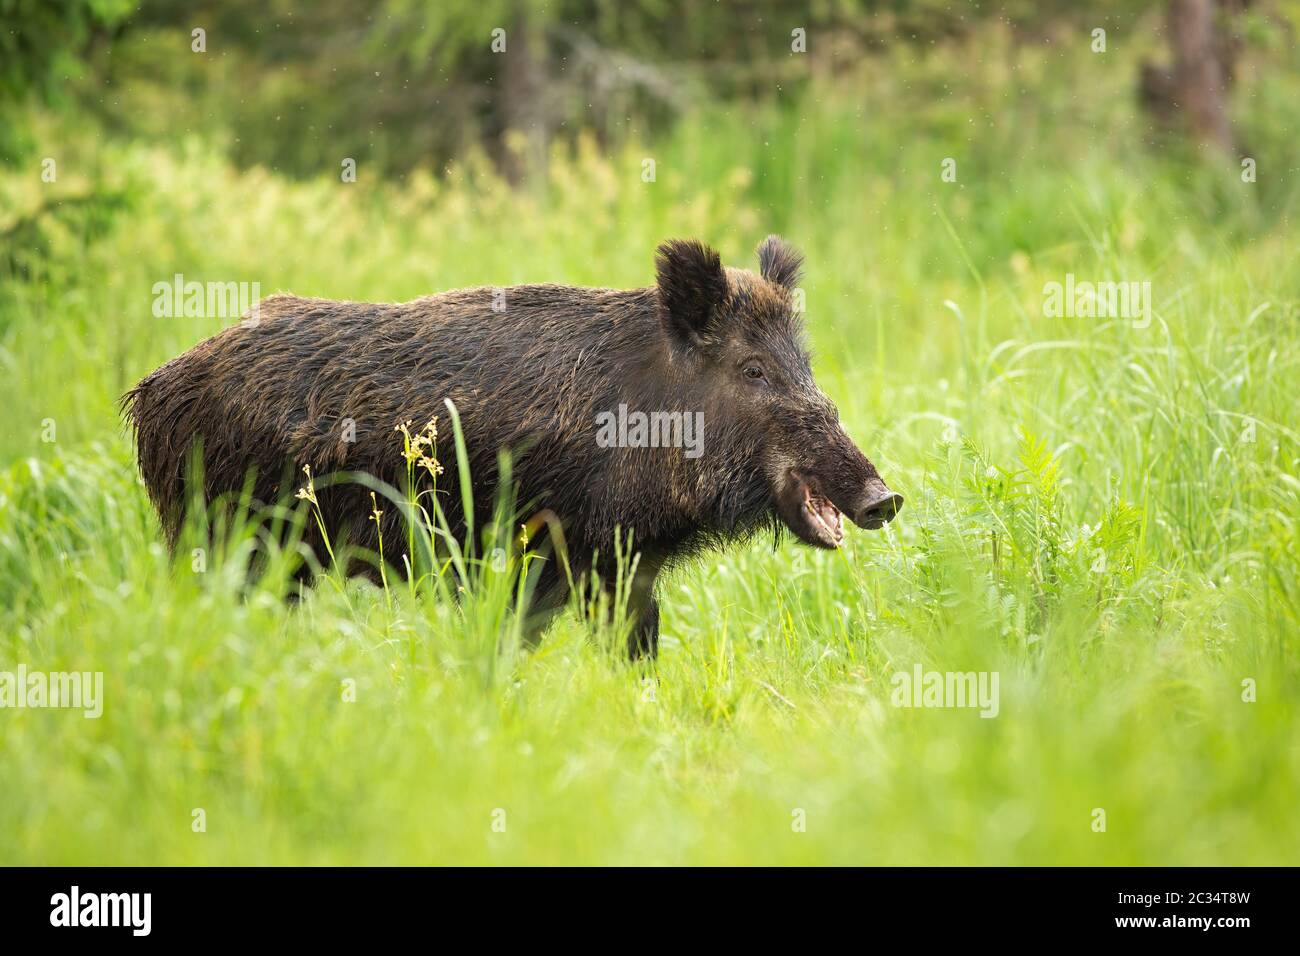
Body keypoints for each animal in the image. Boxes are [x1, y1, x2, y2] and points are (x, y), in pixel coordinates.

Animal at [123, 236, 902, 657]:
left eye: (804, 362)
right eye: (753, 369)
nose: (885, 498)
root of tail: (152, 391)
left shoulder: (622, 567)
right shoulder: (542, 553)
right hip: (226, 535)